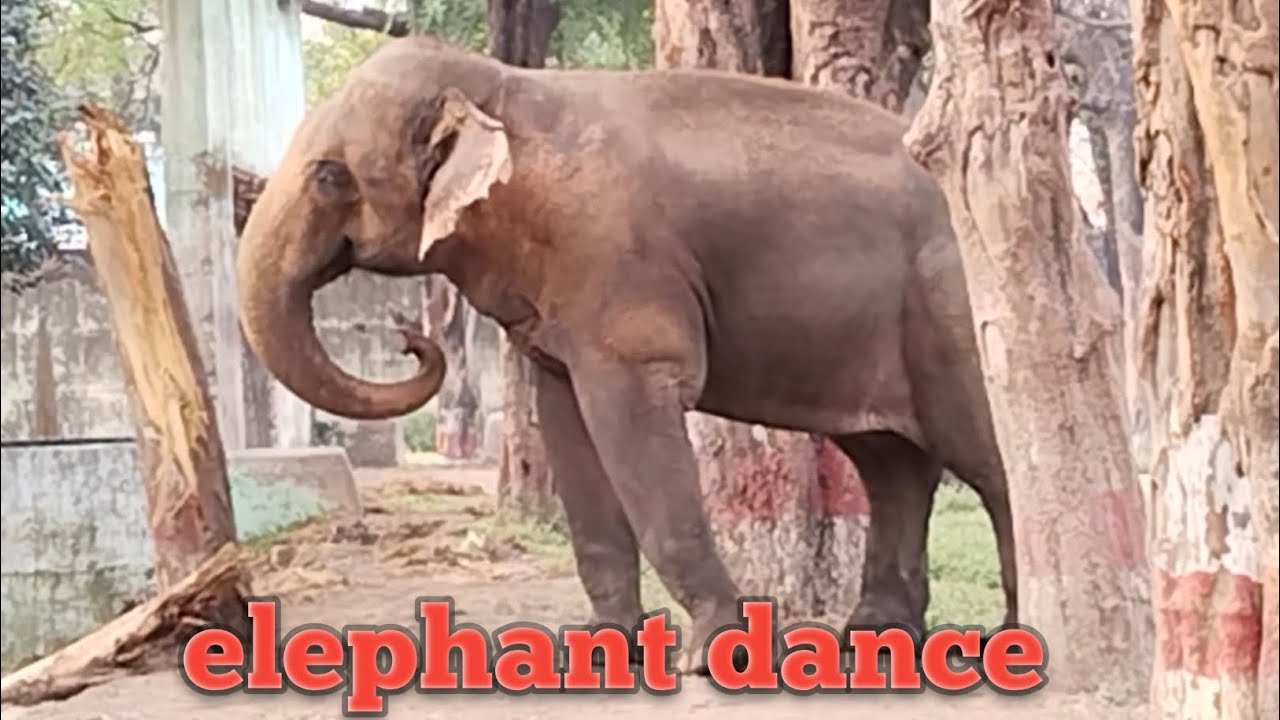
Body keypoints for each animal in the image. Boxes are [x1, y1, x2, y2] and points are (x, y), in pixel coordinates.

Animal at [235, 34, 1017, 672]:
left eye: (329, 175)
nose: (406, 337)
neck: (504, 87)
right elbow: (568, 426)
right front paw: (599, 648)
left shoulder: (621, 275)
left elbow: (633, 420)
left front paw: (714, 656)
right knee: (891, 464)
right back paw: (874, 641)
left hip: (951, 302)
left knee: (983, 456)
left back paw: (1010, 639)